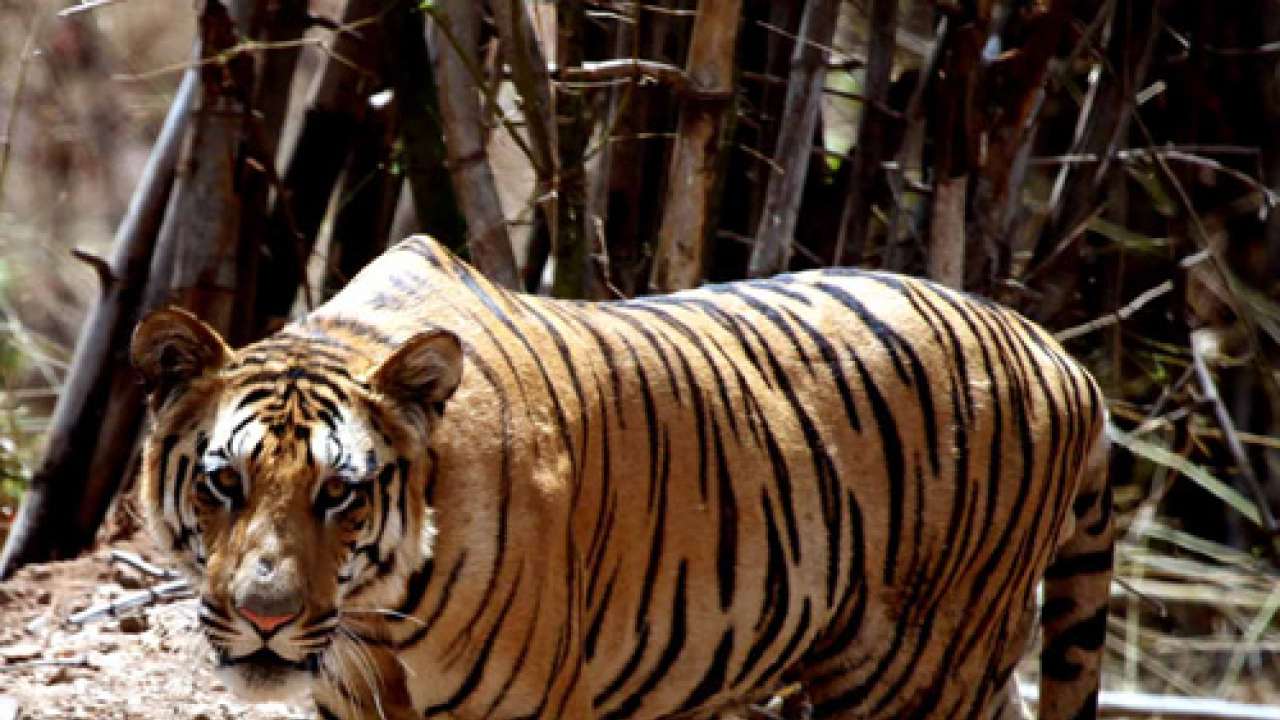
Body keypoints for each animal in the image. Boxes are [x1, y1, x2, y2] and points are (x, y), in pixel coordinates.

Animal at [131, 234, 1113, 720]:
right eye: (225, 484)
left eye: (339, 493)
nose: (266, 619)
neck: (376, 619)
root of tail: (1064, 357)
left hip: (912, 674)